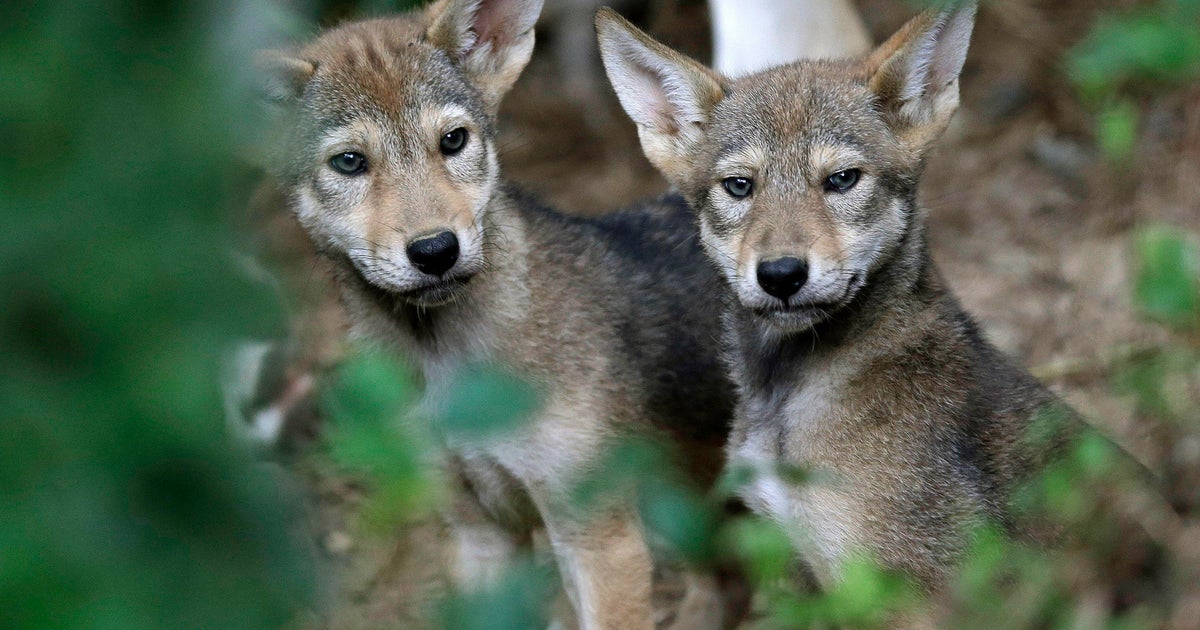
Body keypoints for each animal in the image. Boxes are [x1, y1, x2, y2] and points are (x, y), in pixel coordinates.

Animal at [258, 0, 741, 627]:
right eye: (349, 162)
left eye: (453, 140)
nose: (435, 251)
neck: (448, 364)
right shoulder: (479, 531)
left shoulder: (599, 536)